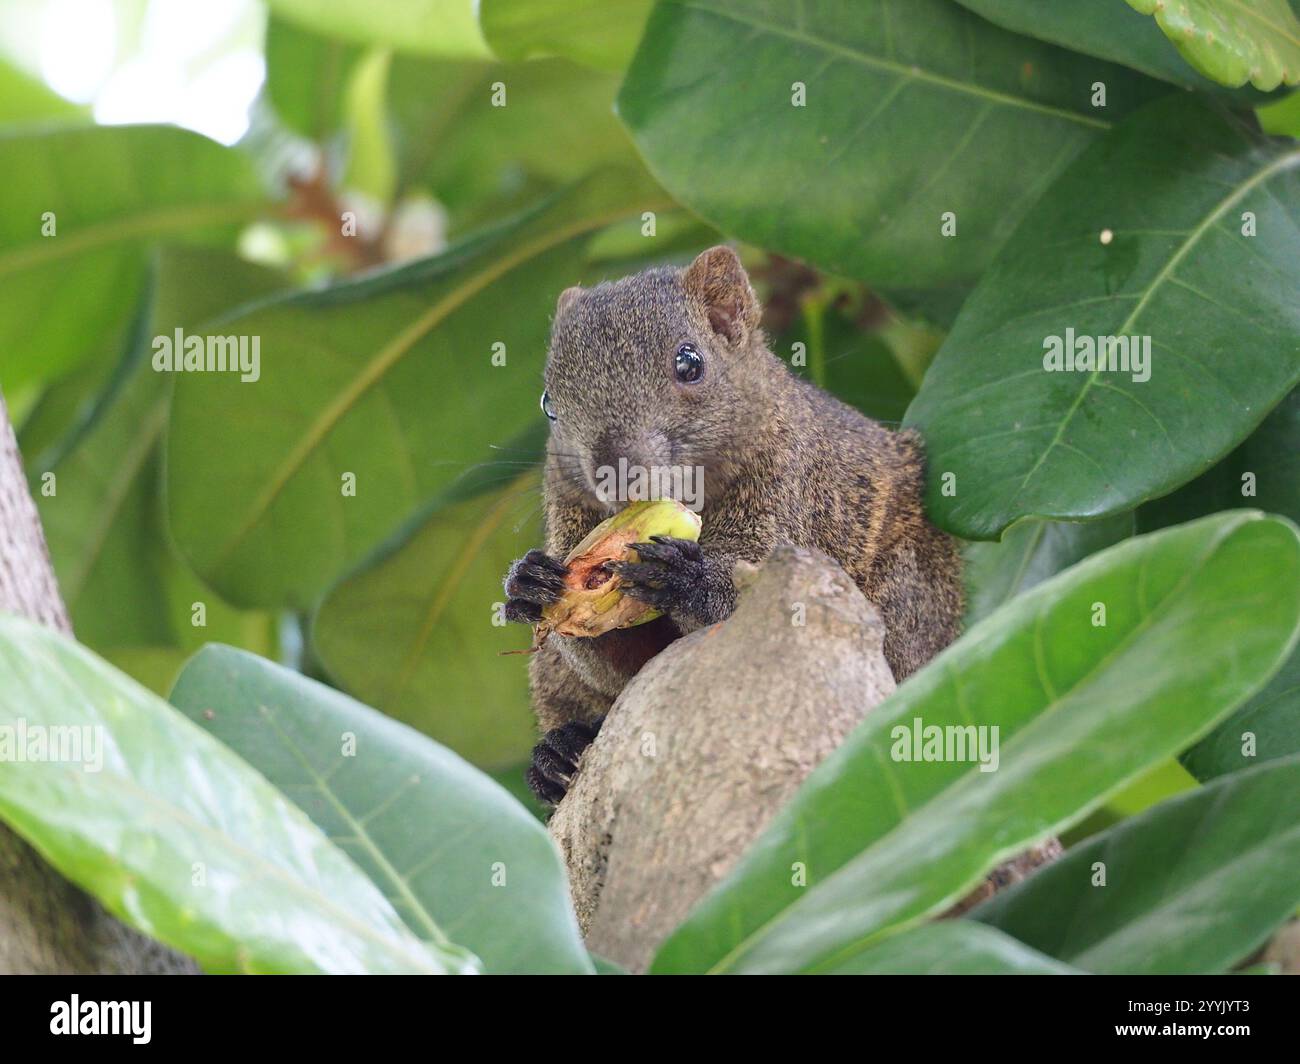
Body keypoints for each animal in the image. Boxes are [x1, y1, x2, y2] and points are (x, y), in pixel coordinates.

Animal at [503, 246, 963, 804]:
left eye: (689, 363)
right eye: (548, 404)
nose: (615, 470)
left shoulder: (788, 494)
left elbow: (752, 606)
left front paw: (687, 579)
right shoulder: (570, 510)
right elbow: (615, 662)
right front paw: (531, 584)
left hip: (907, 599)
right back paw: (557, 753)